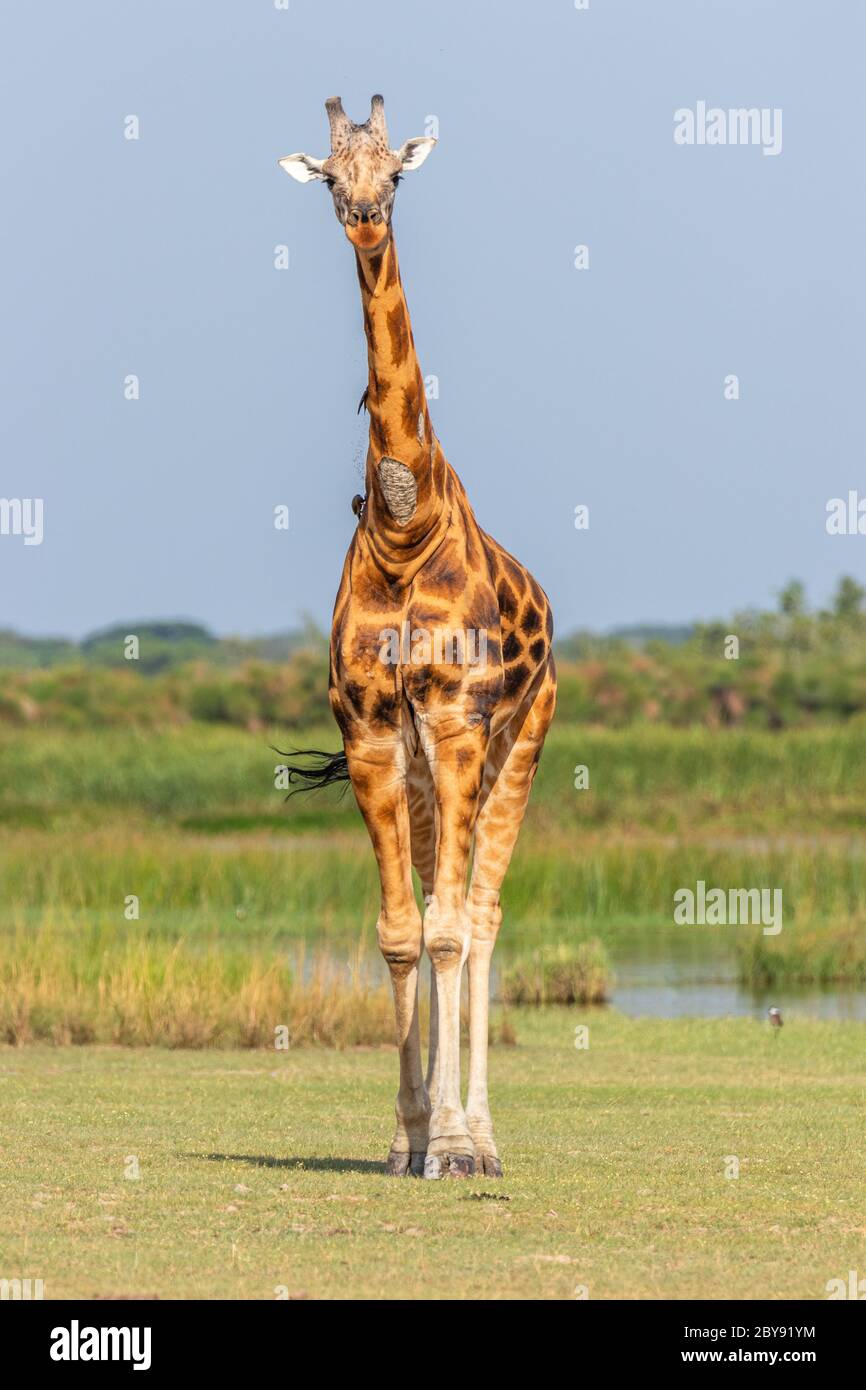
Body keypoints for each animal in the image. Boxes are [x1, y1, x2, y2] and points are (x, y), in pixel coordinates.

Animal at [279, 96, 556, 1178]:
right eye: (328, 175)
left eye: (393, 173)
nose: (361, 218)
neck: (405, 525)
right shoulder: (369, 732)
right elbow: (401, 933)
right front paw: (403, 1137)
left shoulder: (455, 722)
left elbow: (446, 933)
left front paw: (450, 1142)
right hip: (436, 772)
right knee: (446, 915)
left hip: (515, 743)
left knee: (478, 918)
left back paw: (481, 1135)